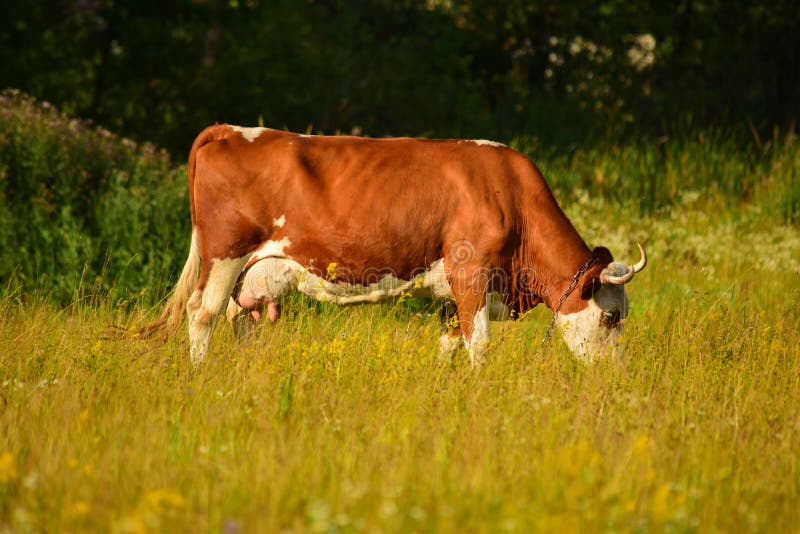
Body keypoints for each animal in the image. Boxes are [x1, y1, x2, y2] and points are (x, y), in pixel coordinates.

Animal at [141, 124, 646, 367]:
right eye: (610, 316)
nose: (616, 373)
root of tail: (228, 129)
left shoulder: (452, 295)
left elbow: (450, 343)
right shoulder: (472, 274)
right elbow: (479, 344)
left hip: (250, 271)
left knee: (237, 318)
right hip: (225, 253)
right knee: (202, 314)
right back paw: (201, 375)